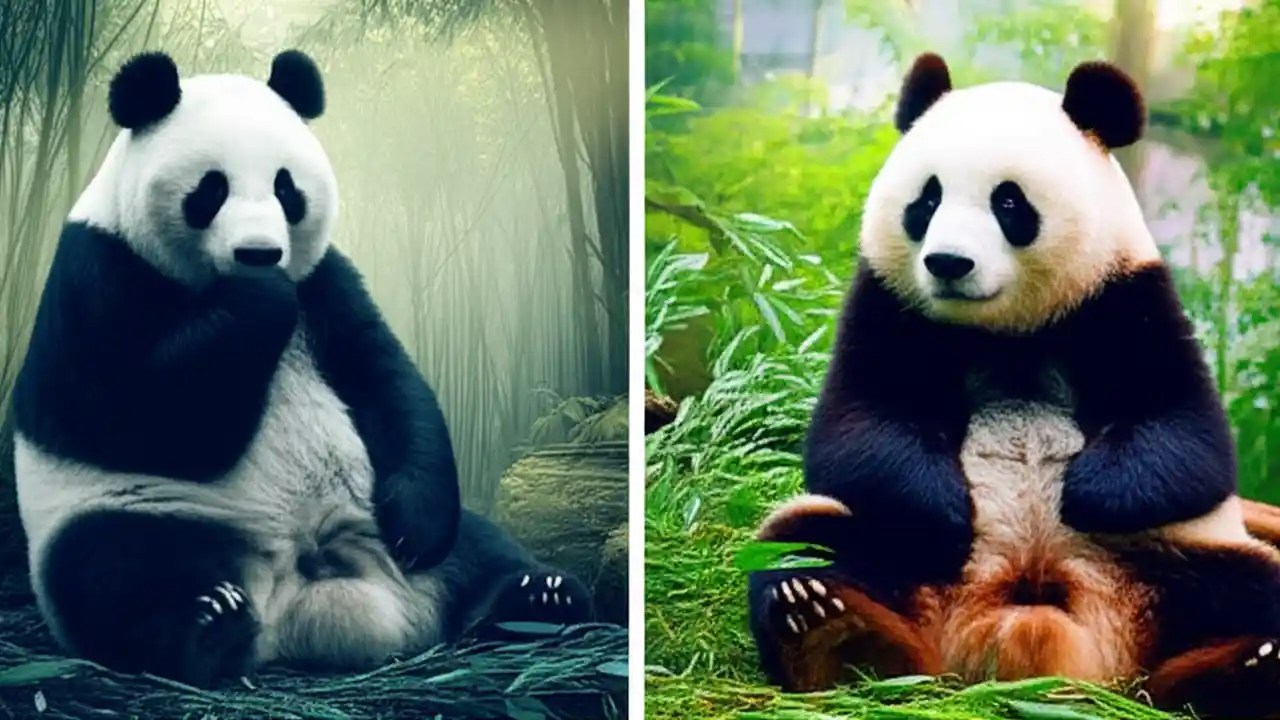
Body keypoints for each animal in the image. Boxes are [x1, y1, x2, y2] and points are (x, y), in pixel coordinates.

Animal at [10, 50, 591, 688]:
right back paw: (209, 622)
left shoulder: (325, 283)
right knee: (112, 572)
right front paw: (259, 299)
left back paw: (539, 598)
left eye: (285, 187)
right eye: (210, 189)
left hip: (394, 522)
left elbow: (385, 376)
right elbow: (132, 414)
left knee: (482, 545)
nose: (260, 253)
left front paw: (416, 523)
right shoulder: (96, 275)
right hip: (128, 514)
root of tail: (301, 592)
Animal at [747, 53, 1280, 718]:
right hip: (901, 561)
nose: (948, 263)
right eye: (927, 199)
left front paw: (1085, 492)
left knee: (1247, 595)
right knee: (805, 545)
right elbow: (856, 429)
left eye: (1008, 202)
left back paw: (1251, 665)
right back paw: (827, 626)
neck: (1007, 331)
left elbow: (1188, 434)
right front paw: (946, 505)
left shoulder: (1128, 298)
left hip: (1169, 563)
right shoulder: (889, 305)